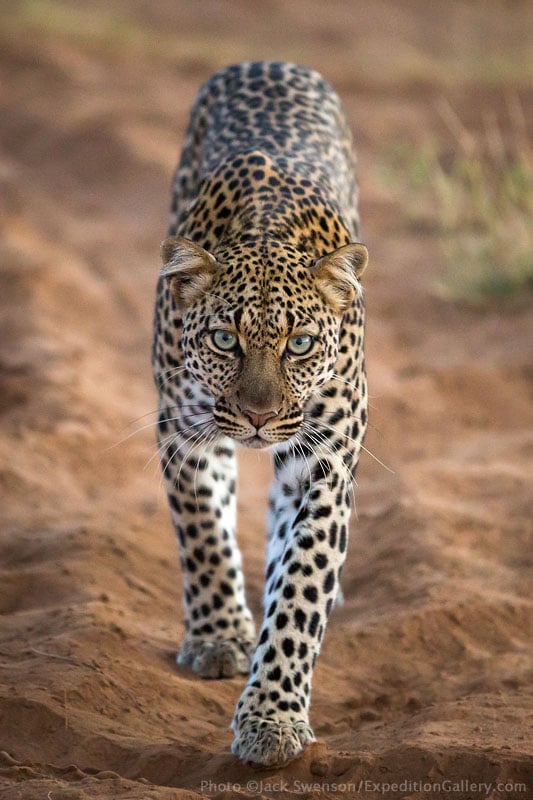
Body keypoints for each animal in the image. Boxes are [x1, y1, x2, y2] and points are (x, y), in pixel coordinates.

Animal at [152, 61, 369, 767]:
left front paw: (272, 717)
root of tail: (270, 61)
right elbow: (204, 534)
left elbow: (301, 585)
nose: (256, 416)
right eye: (225, 340)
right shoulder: (184, 432)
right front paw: (219, 637)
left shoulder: (324, 462)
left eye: (300, 344)